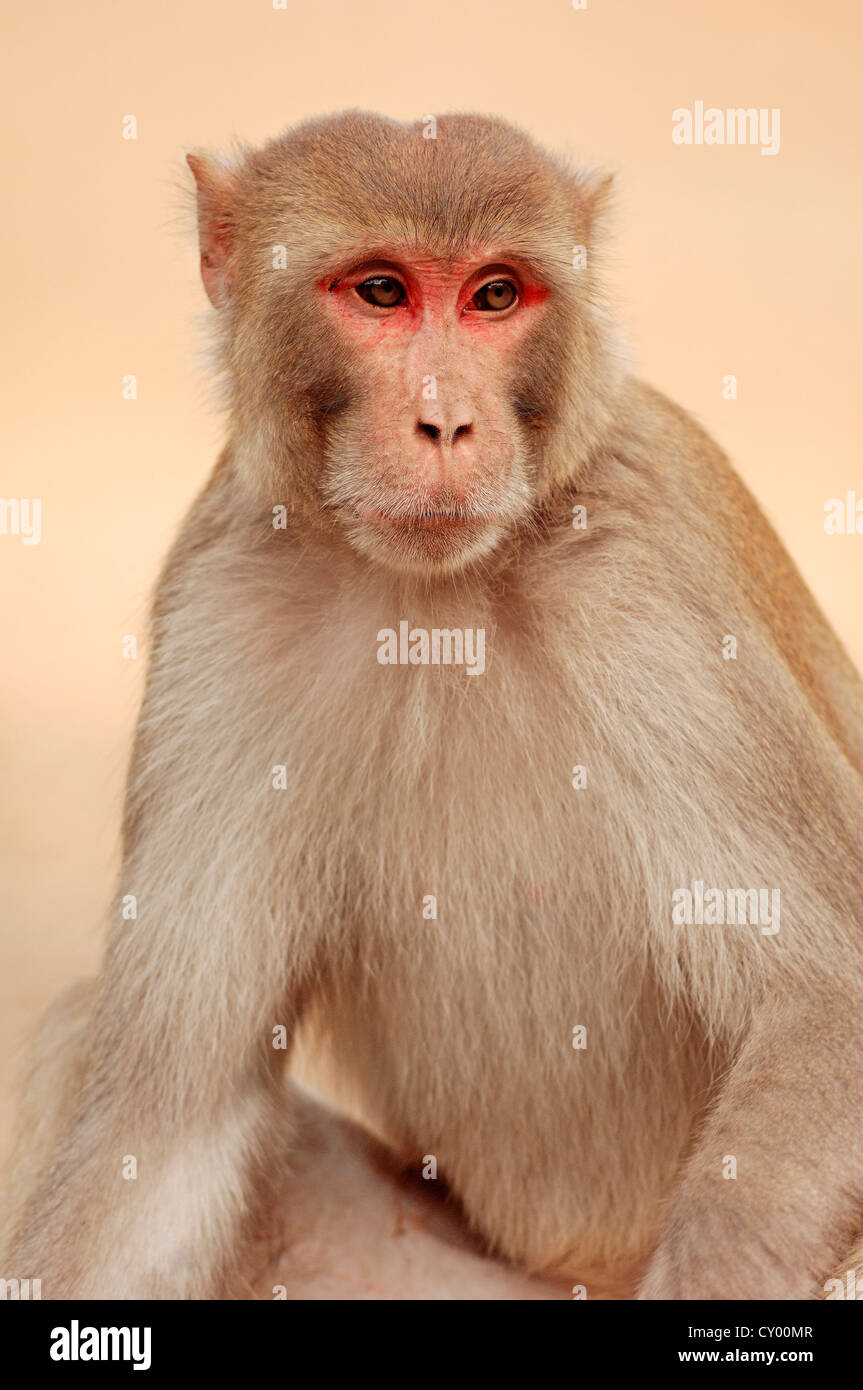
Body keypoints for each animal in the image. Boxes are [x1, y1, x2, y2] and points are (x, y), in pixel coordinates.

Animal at [3, 109, 863, 1302]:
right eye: (381, 291)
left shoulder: (650, 568)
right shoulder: (221, 588)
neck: (434, 597)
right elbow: (163, 1125)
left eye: (495, 295)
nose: (446, 423)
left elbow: (827, 1005)